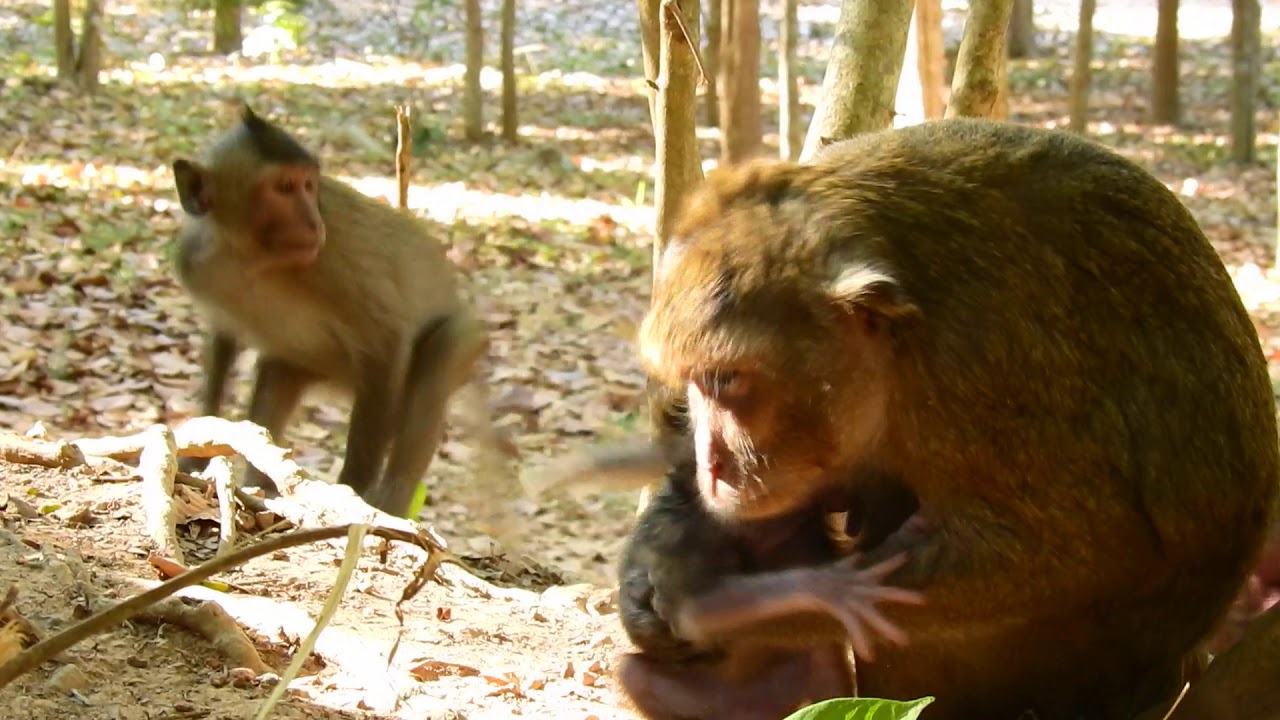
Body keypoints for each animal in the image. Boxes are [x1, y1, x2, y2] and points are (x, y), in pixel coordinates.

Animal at [171, 106, 491, 517]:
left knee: (441, 351)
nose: (312, 221)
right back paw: (263, 485)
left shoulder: (333, 260)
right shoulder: (196, 261)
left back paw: (390, 503)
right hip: (309, 364)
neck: (252, 258)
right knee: (276, 377)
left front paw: (351, 491)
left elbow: (385, 343)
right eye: (284, 187)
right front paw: (196, 453)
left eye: (309, 185)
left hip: (465, 346)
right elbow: (223, 339)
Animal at [618, 117, 1280, 720]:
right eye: (695, 385)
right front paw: (651, 577)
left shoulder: (982, 369)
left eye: (727, 382)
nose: (712, 463)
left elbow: (1089, 548)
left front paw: (757, 602)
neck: (901, 353)